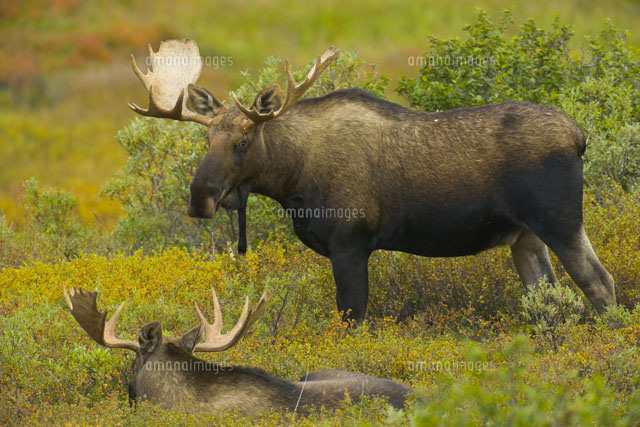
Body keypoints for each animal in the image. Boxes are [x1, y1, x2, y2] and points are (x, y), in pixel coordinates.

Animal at [127, 39, 616, 323]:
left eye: (243, 141)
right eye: (206, 137)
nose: (200, 198)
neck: (292, 182)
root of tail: (580, 136)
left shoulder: (351, 244)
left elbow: (352, 319)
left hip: (560, 222)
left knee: (601, 283)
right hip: (524, 237)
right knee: (549, 299)